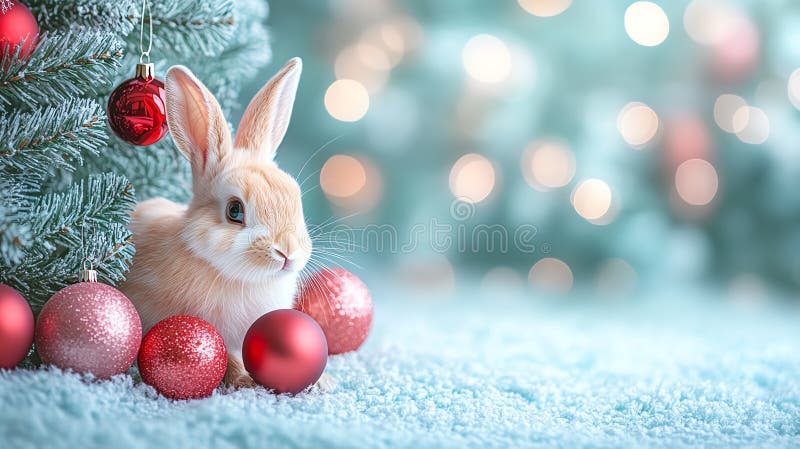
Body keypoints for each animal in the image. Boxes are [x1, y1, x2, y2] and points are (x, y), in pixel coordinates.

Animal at [121, 58, 331, 390]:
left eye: (294, 196)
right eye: (235, 210)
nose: (288, 252)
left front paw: (325, 381)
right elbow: (228, 359)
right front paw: (244, 379)